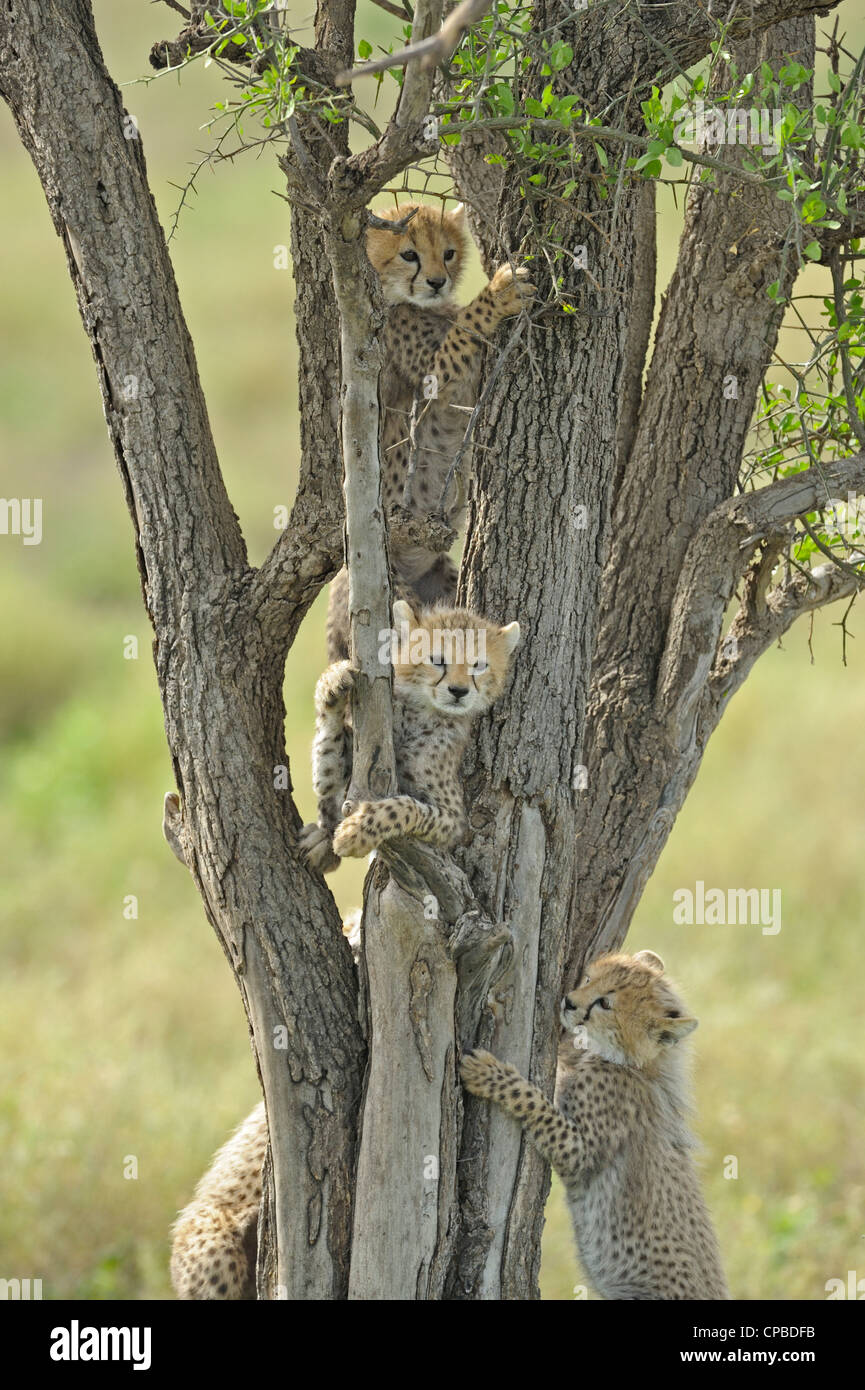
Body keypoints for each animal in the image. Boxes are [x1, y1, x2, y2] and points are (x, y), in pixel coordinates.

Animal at [300, 597, 520, 874]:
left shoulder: (453, 822)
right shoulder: (341, 779)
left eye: (479, 665)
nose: (459, 691)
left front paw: (355, 833)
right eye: (437, 660)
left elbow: (405, 808)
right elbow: (326, 762)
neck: (420, 713)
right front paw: (334, 681)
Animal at [326, 201, 534, 661]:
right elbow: (464, 328)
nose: (438, 282)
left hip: (442, 578)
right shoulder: (430, 374)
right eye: (409, 255)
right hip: (391, 591)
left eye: (449, 253)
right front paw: (500, 292)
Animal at [460, 950, 730, 1300]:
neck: (634, 1065)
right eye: (589, 979)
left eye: (605, 1003)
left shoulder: (582, 1153)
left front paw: (490, 1074)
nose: (568, 1002)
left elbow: (535, 1102)